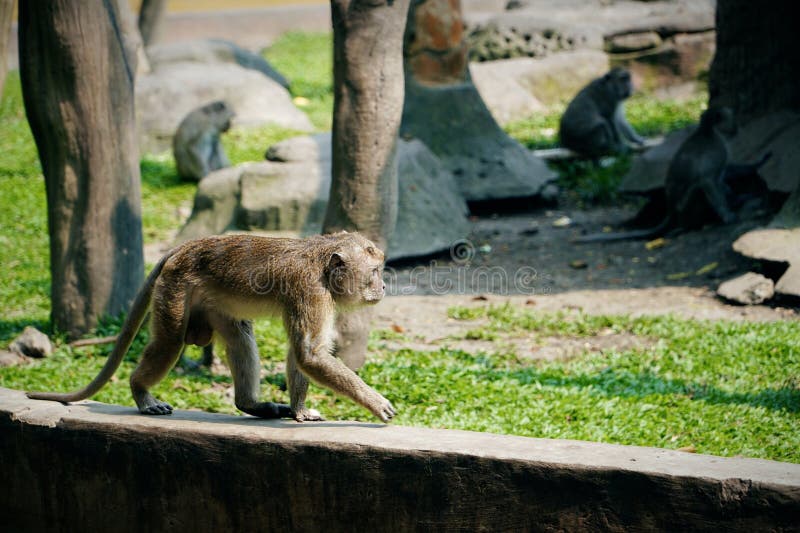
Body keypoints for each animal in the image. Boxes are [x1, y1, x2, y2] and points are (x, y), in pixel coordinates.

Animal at [28, 232, 397, 423]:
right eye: (374, 271)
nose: (382, 287)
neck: (320, 263)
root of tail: (184, 247)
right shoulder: (309, 290)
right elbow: (311, 354)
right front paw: (375, 401)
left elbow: (303, 353)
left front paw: (299, 409)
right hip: (175, 290)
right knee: (169, 344)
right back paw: (141, 392)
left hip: (212, 303)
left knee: (239, 337)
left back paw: (250, 405)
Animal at [573, 107, 772, 243]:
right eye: (732, 120)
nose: (737, 127)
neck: (707, 130)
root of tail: (671, 209)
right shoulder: (716, 148)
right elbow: (707, 180)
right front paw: (726, 214)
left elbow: (725, 172)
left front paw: (758, 164)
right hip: (687, 208)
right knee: (699, 188)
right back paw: (687, 226)